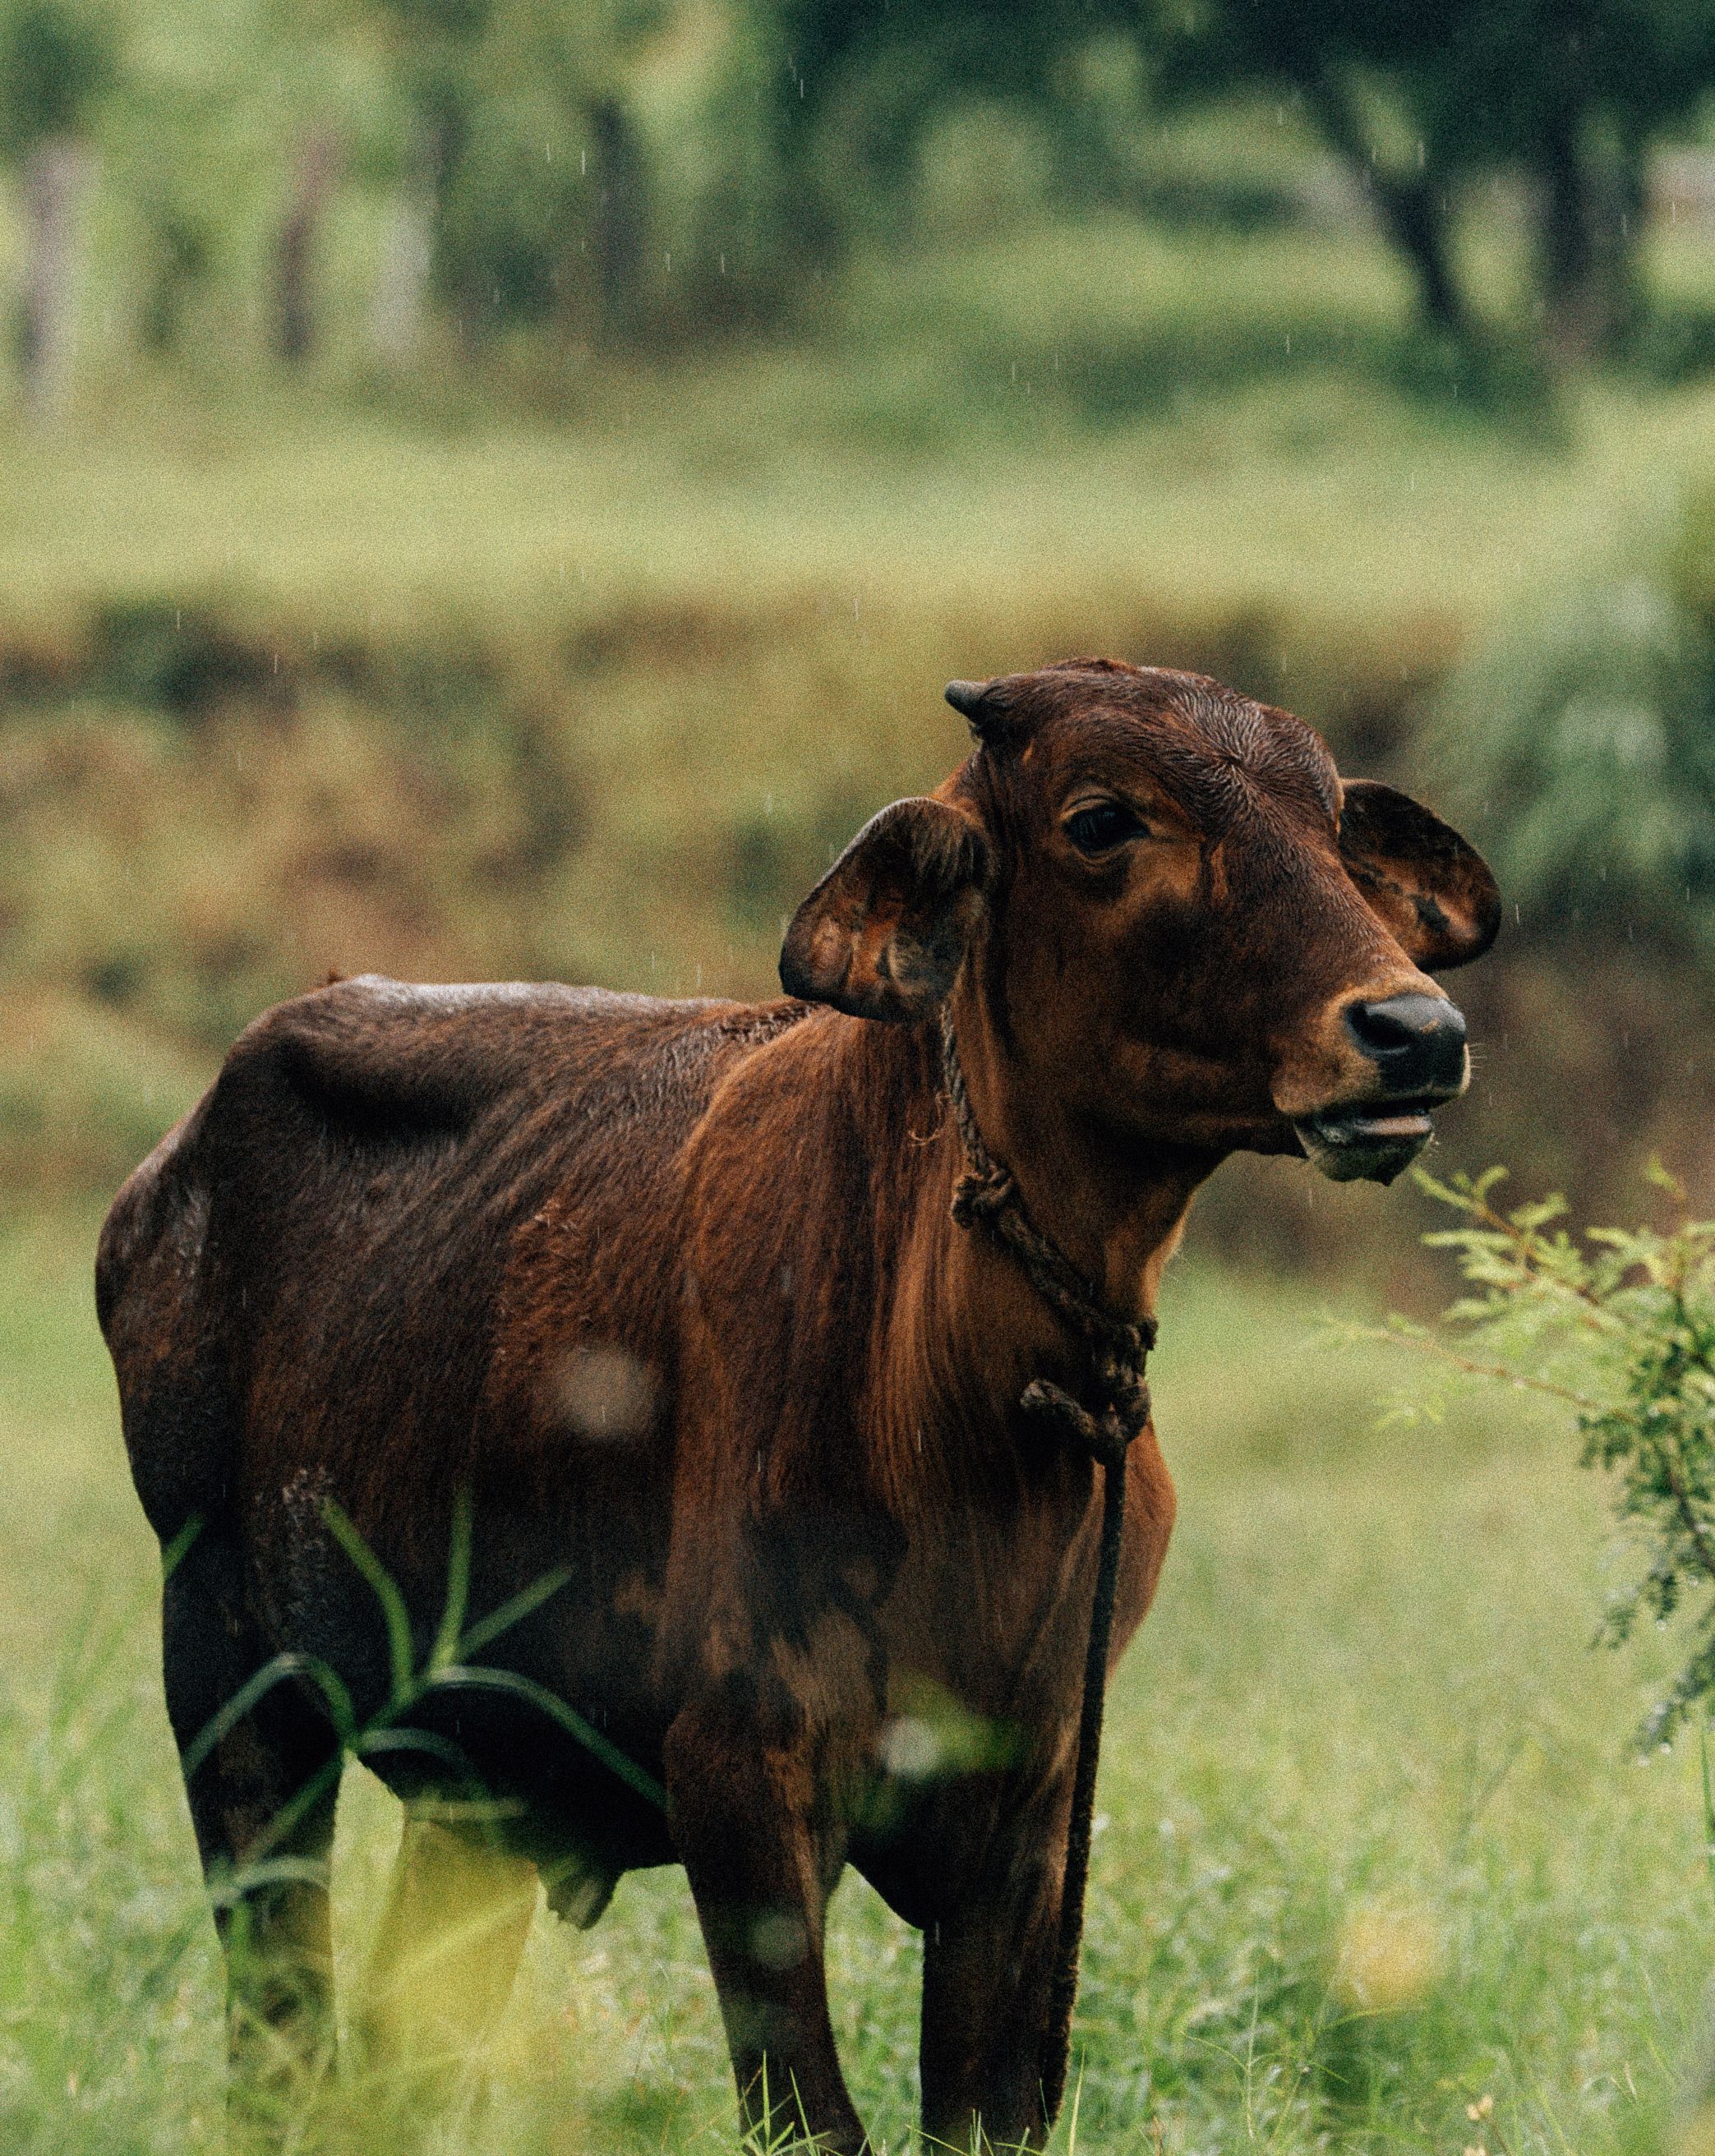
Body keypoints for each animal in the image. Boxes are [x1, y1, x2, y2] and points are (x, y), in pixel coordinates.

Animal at [97, 658, 1498, 2153]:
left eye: (1333, 817)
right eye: (1102, 818)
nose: (1411, 1030)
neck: (979, 1425)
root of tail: (162, 1180)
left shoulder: (1030, 1804)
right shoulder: (740, 1780)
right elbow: (809, 2115)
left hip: (473, 1786)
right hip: (228, 1677)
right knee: (280, 2039)